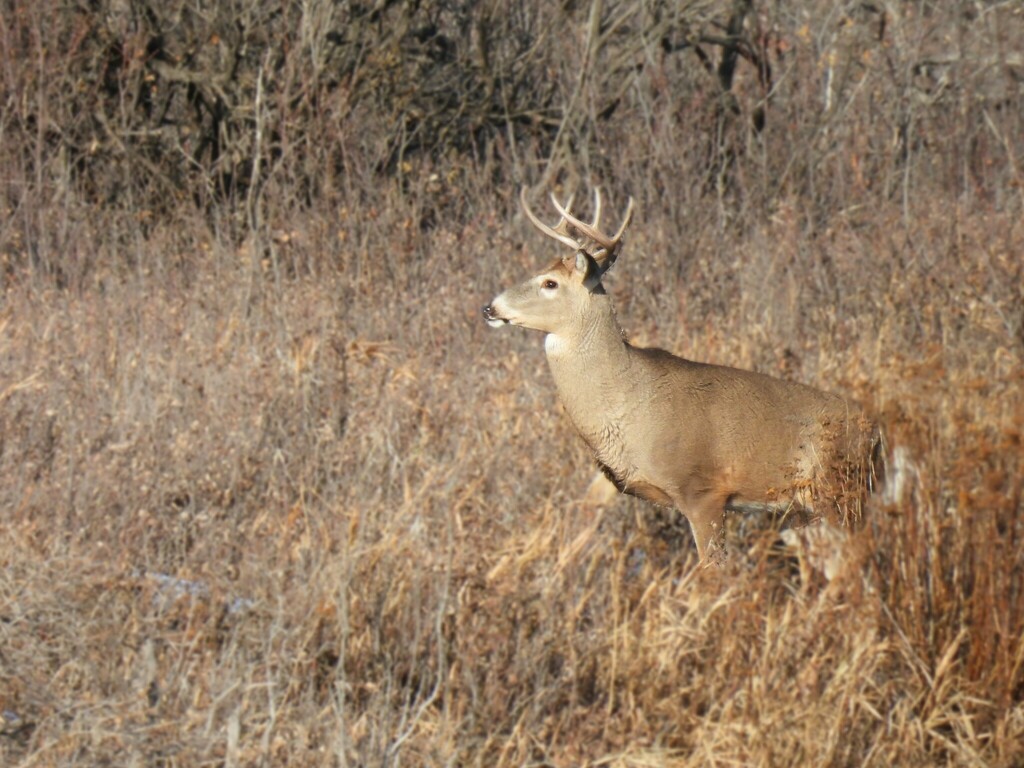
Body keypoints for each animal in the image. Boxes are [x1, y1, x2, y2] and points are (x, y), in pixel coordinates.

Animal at [483, 187, 880, 563]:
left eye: (549, 283)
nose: (490, 307)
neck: (631, 398)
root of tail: (875, 431)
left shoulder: (703, 490)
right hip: (806, 509)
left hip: (839, 488)